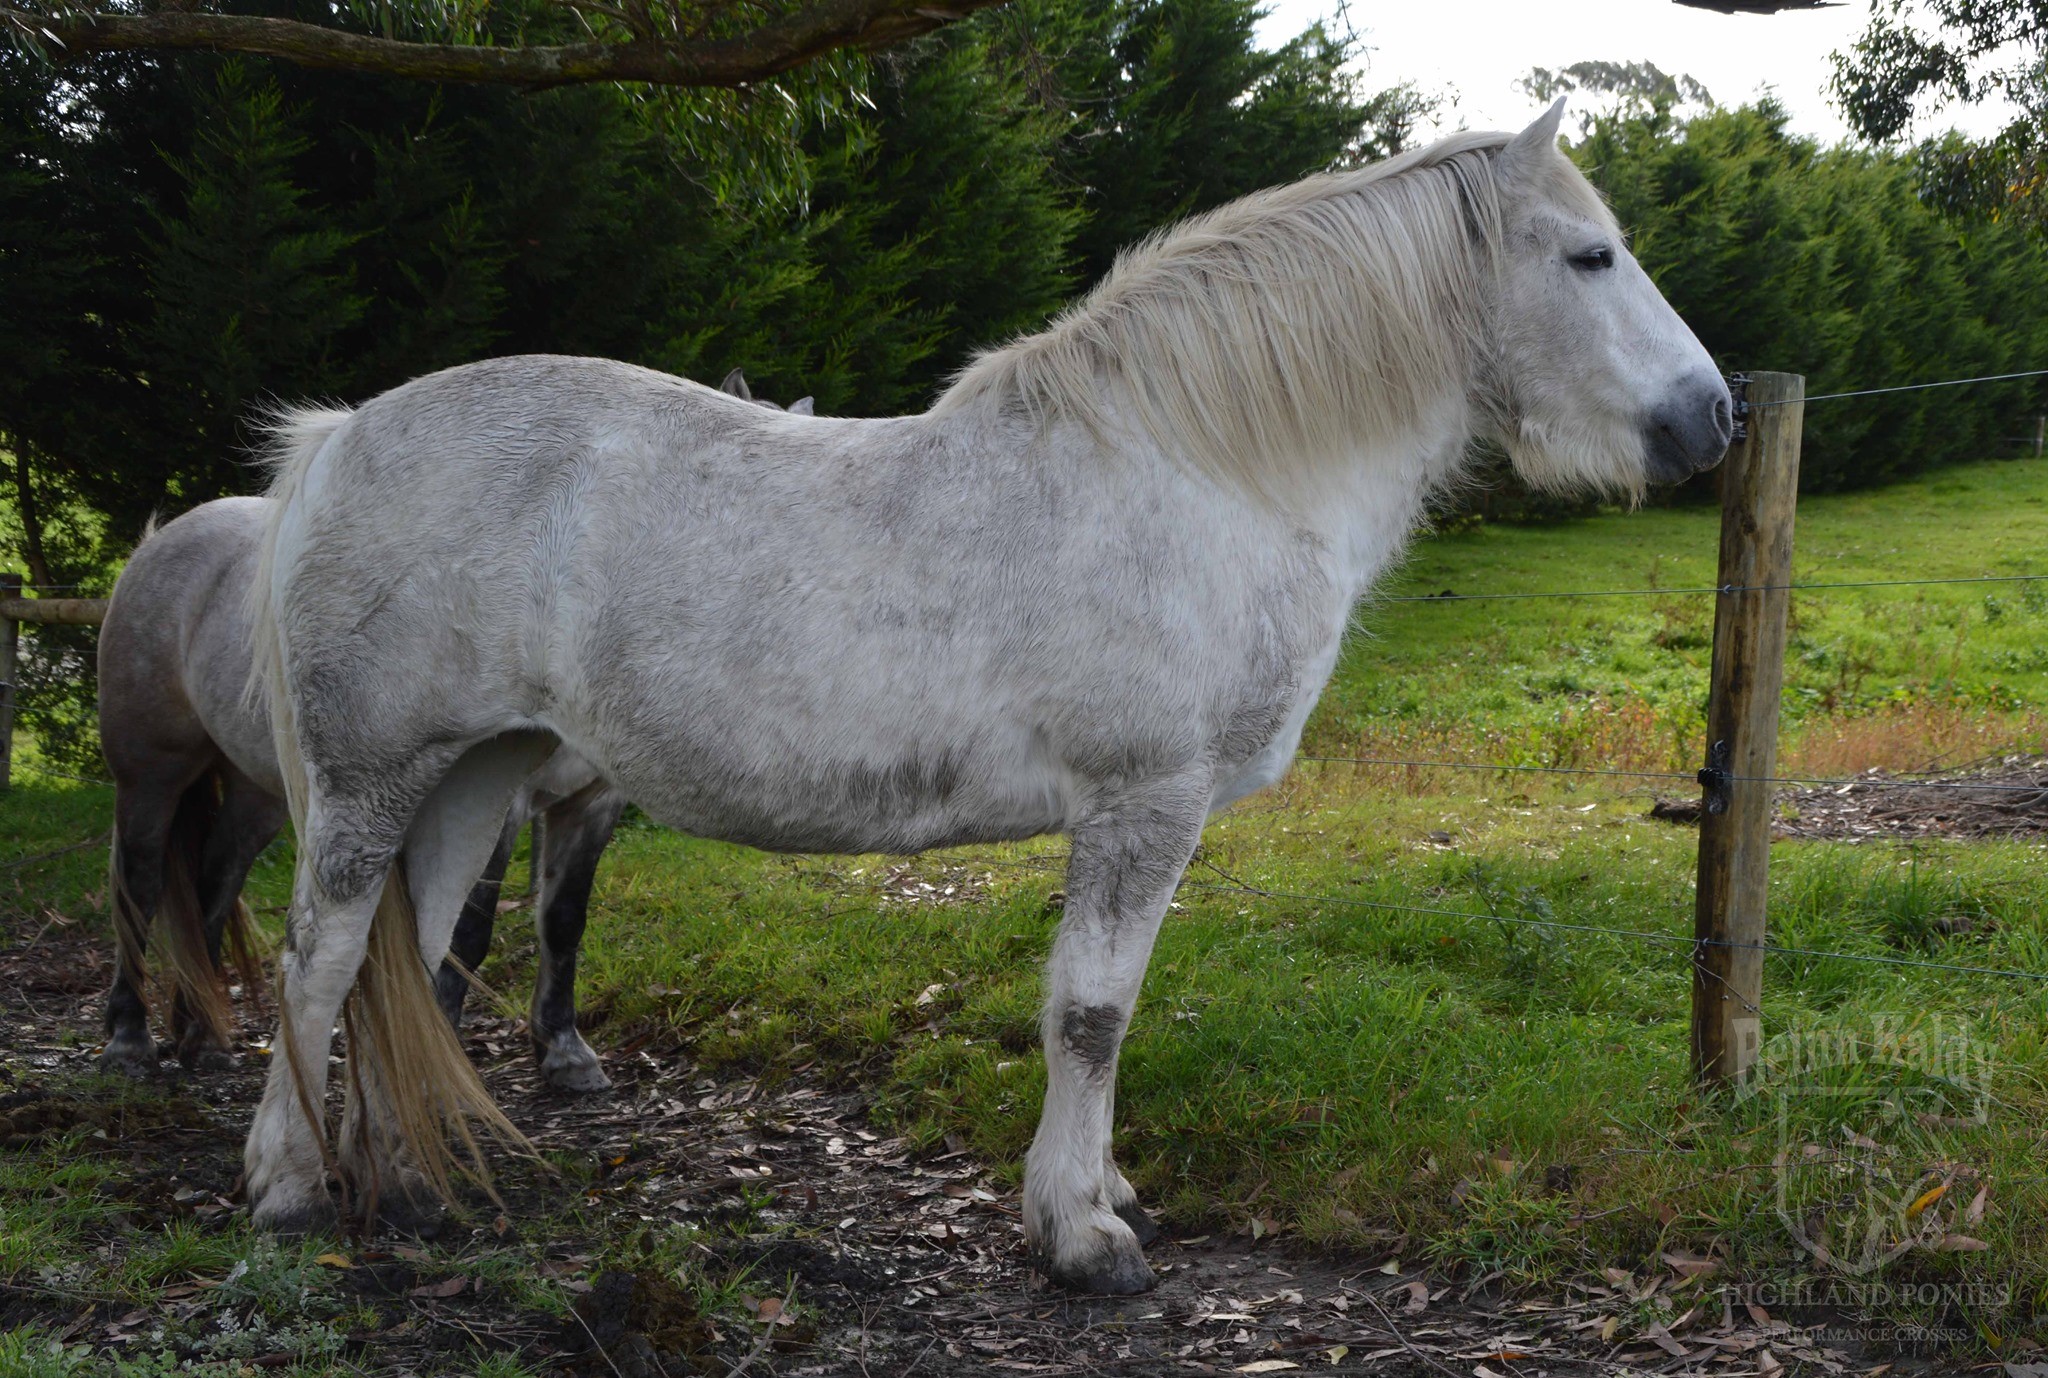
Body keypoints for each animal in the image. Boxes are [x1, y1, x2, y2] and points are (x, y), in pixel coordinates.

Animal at [95, 371, 803, 1089]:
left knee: (214, 881)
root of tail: (161, 539)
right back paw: (129, 1039)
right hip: (152, 772)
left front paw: (563, 1050)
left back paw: (202, 1035)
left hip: (261, 791)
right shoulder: (498, 798)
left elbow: (563, 921)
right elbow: (469, 930)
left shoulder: (589, 804)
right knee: (140, 887)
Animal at [240, 105, 1732, 1292]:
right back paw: (288, 1184)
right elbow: (1091, 1013)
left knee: (403, 957)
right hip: (376, 774)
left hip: (476, 768)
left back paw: (408, 1184)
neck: (1196, 472)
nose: (1711, 418)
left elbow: (1096, 1011)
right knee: (320, 955)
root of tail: (341, 435)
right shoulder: (1143, 806)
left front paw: (1101, 1191)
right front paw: (1081, 1232)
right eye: (1589, 255)